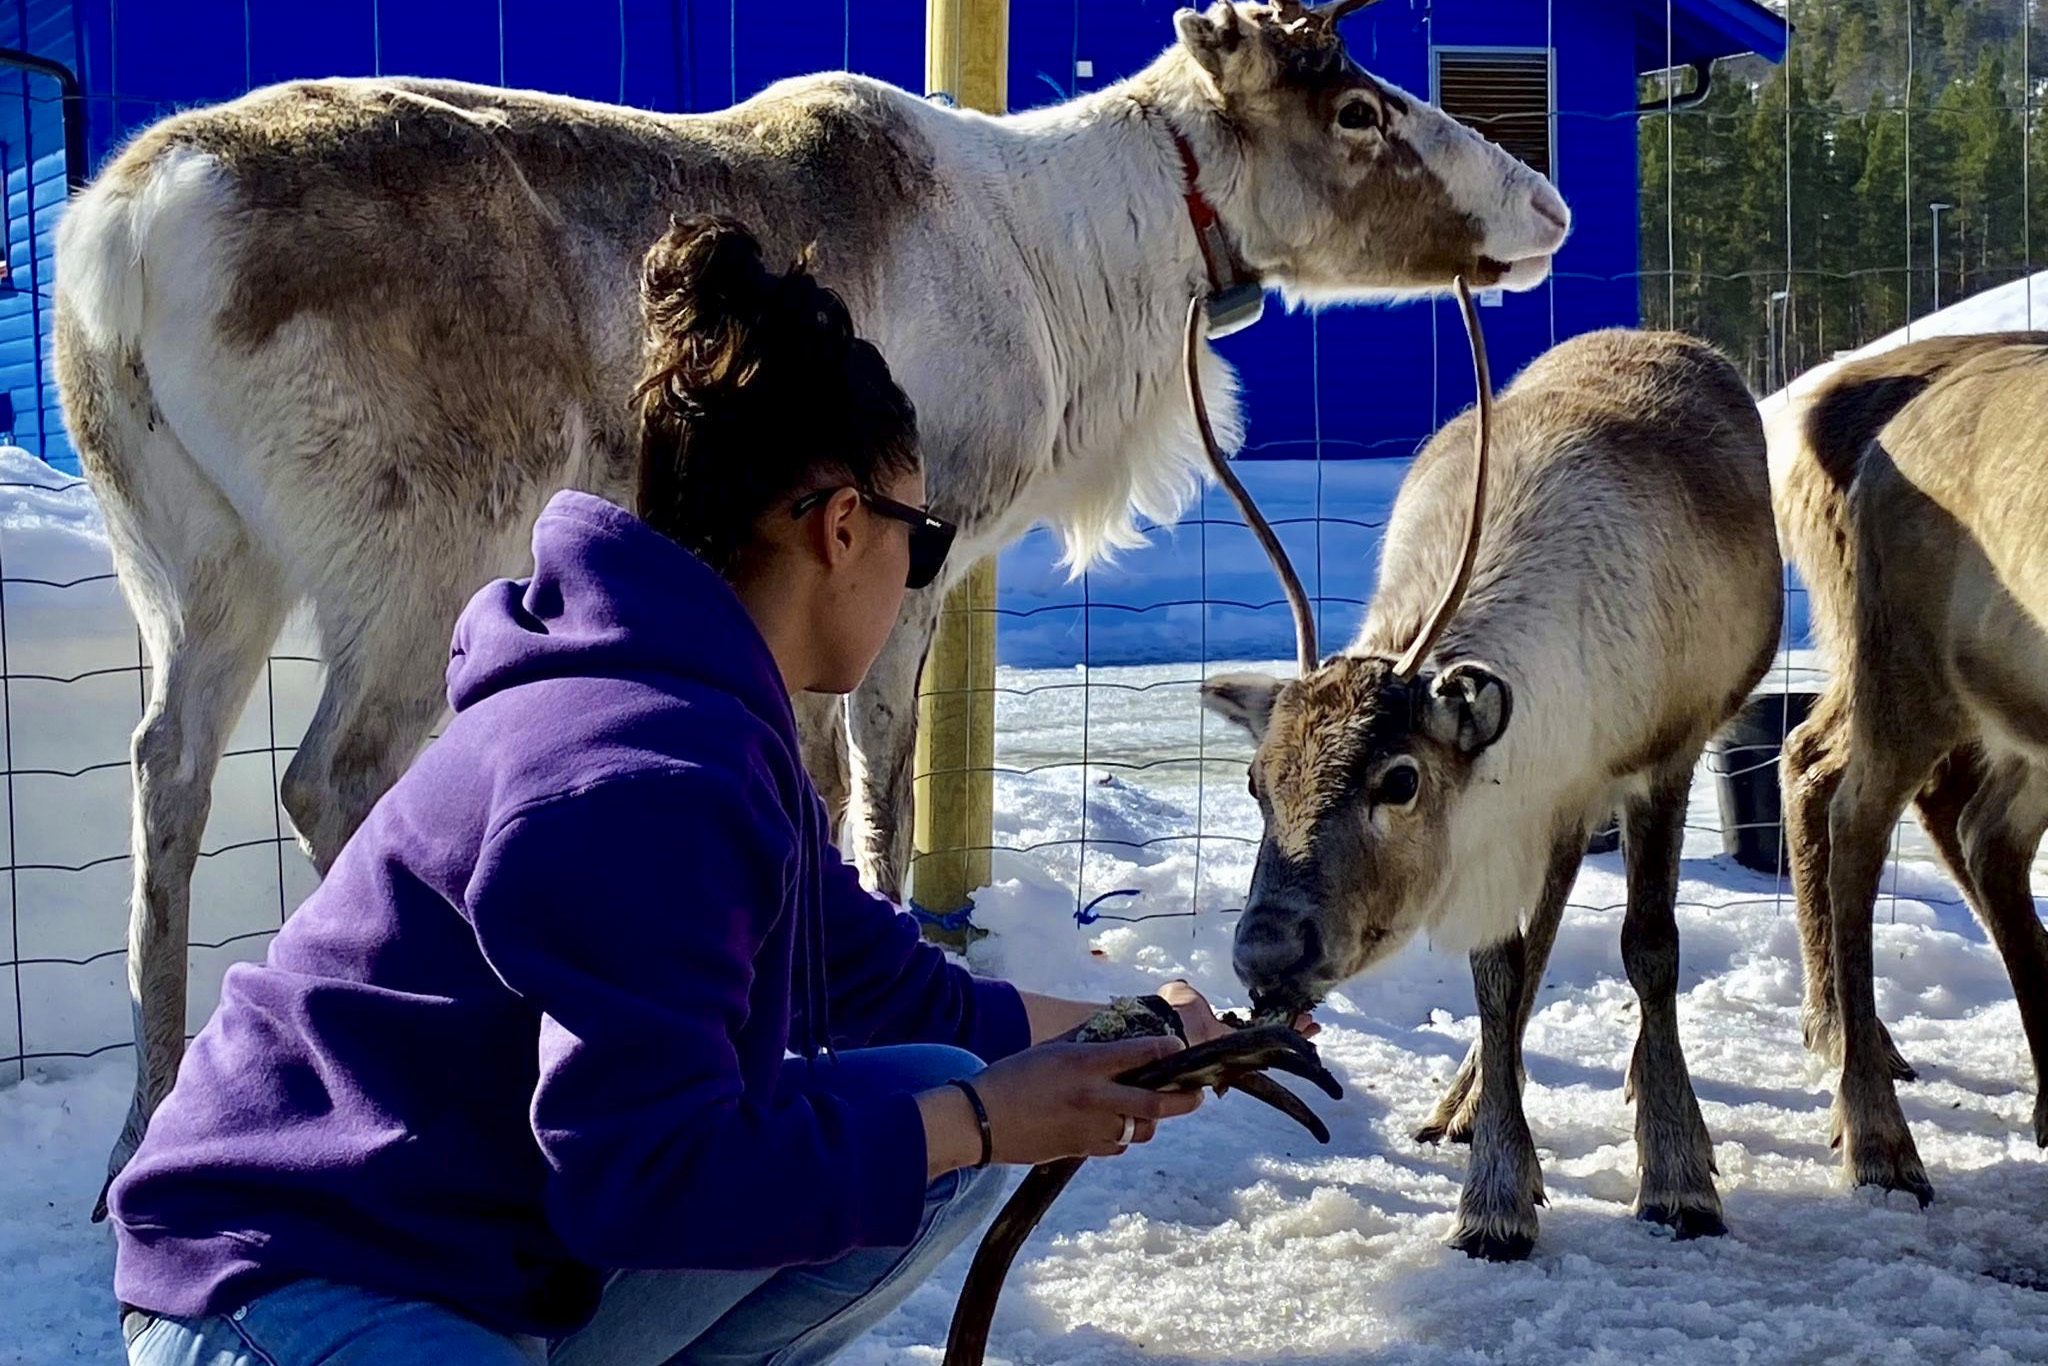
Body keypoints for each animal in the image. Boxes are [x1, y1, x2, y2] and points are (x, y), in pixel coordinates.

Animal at [1198, 321, 1783, 1259]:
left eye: (1399, 780)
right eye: (1256, 783)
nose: (1266, 953)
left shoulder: (1663, 758)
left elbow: (1651, 949)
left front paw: (1678, 1178)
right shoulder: (1505, 819)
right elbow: (1497, 974)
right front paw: (1499, 1192)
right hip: (1561, 816)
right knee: (1540, 929)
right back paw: (1466, 1102)